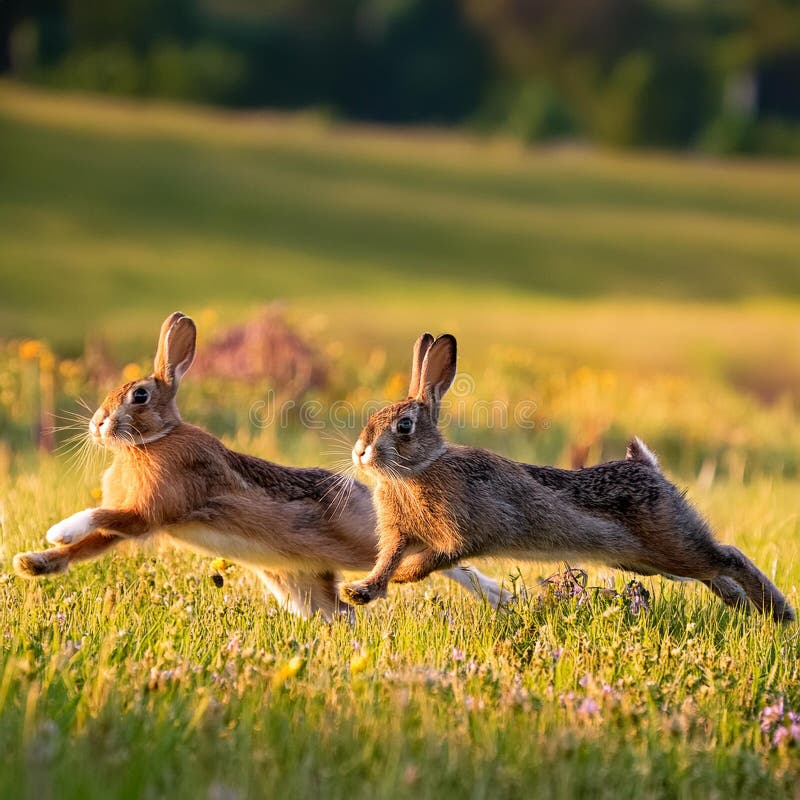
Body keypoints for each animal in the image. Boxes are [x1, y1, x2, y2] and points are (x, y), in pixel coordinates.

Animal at [12, 313, 508, 620]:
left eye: (139, 395)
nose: (97, 424)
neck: (154, 442)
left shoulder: (154, 510)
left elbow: (99, 517)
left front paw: (57, 530)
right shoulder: (136, 520)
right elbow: (89, 545)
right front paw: (33, 563)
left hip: (364, 543)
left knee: (440, 558)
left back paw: (501, 595)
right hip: (301, 582)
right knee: (343, 612)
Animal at [341, 332, 795, 623]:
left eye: (404, 426)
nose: (360, 452)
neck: (418, 470)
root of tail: (649, 467)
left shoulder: (465, 534)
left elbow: (429, 561)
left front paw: (400, 577)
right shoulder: (399, 533)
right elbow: (387, 559)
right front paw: (359, 591)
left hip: (671, 547)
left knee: (727, 557)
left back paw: (780, 613)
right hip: (648, 561)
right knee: (712, 571)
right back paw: (744, 607)